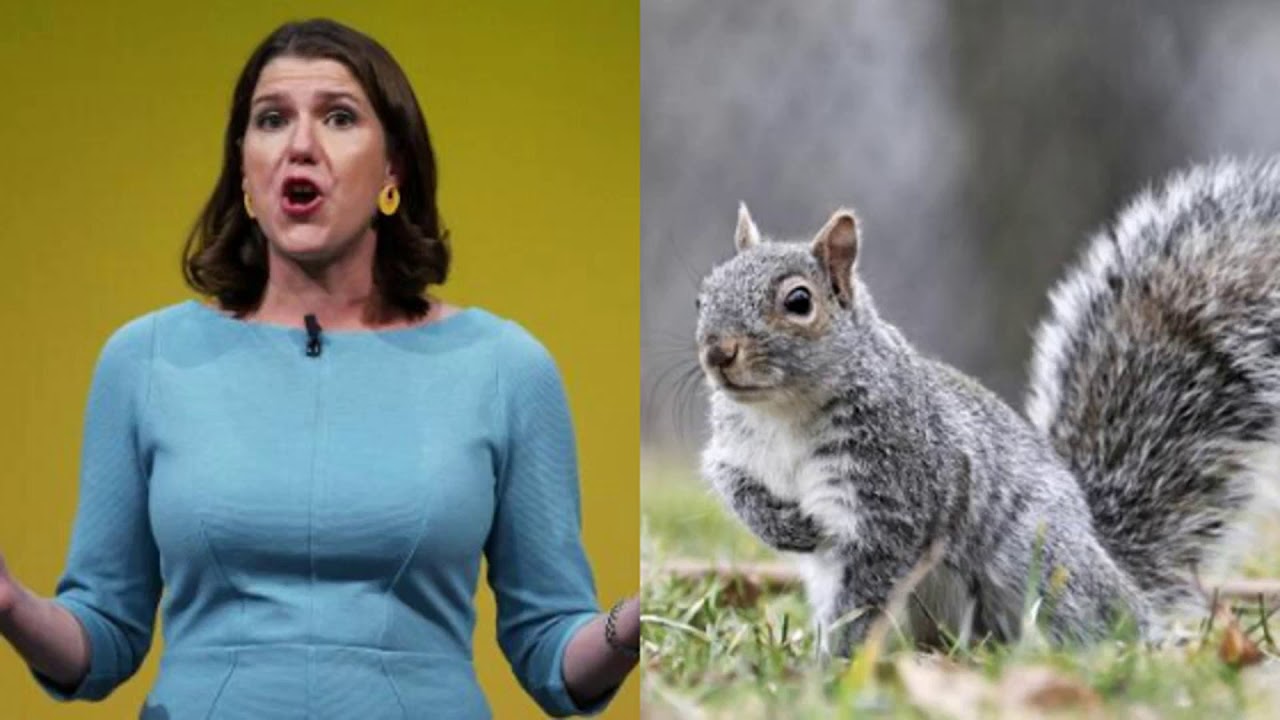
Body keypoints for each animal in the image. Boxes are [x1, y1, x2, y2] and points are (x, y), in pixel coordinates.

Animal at [695, 158, 1280, 657]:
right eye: (703, 295)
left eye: (799, 302)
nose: (717, 353)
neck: (783, 414)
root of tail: (1106, 556)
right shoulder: (736, 448)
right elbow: (729, 480)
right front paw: (783, 527)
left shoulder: (894, 493)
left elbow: (866, 592)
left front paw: (835, 662)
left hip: (1036, 557)